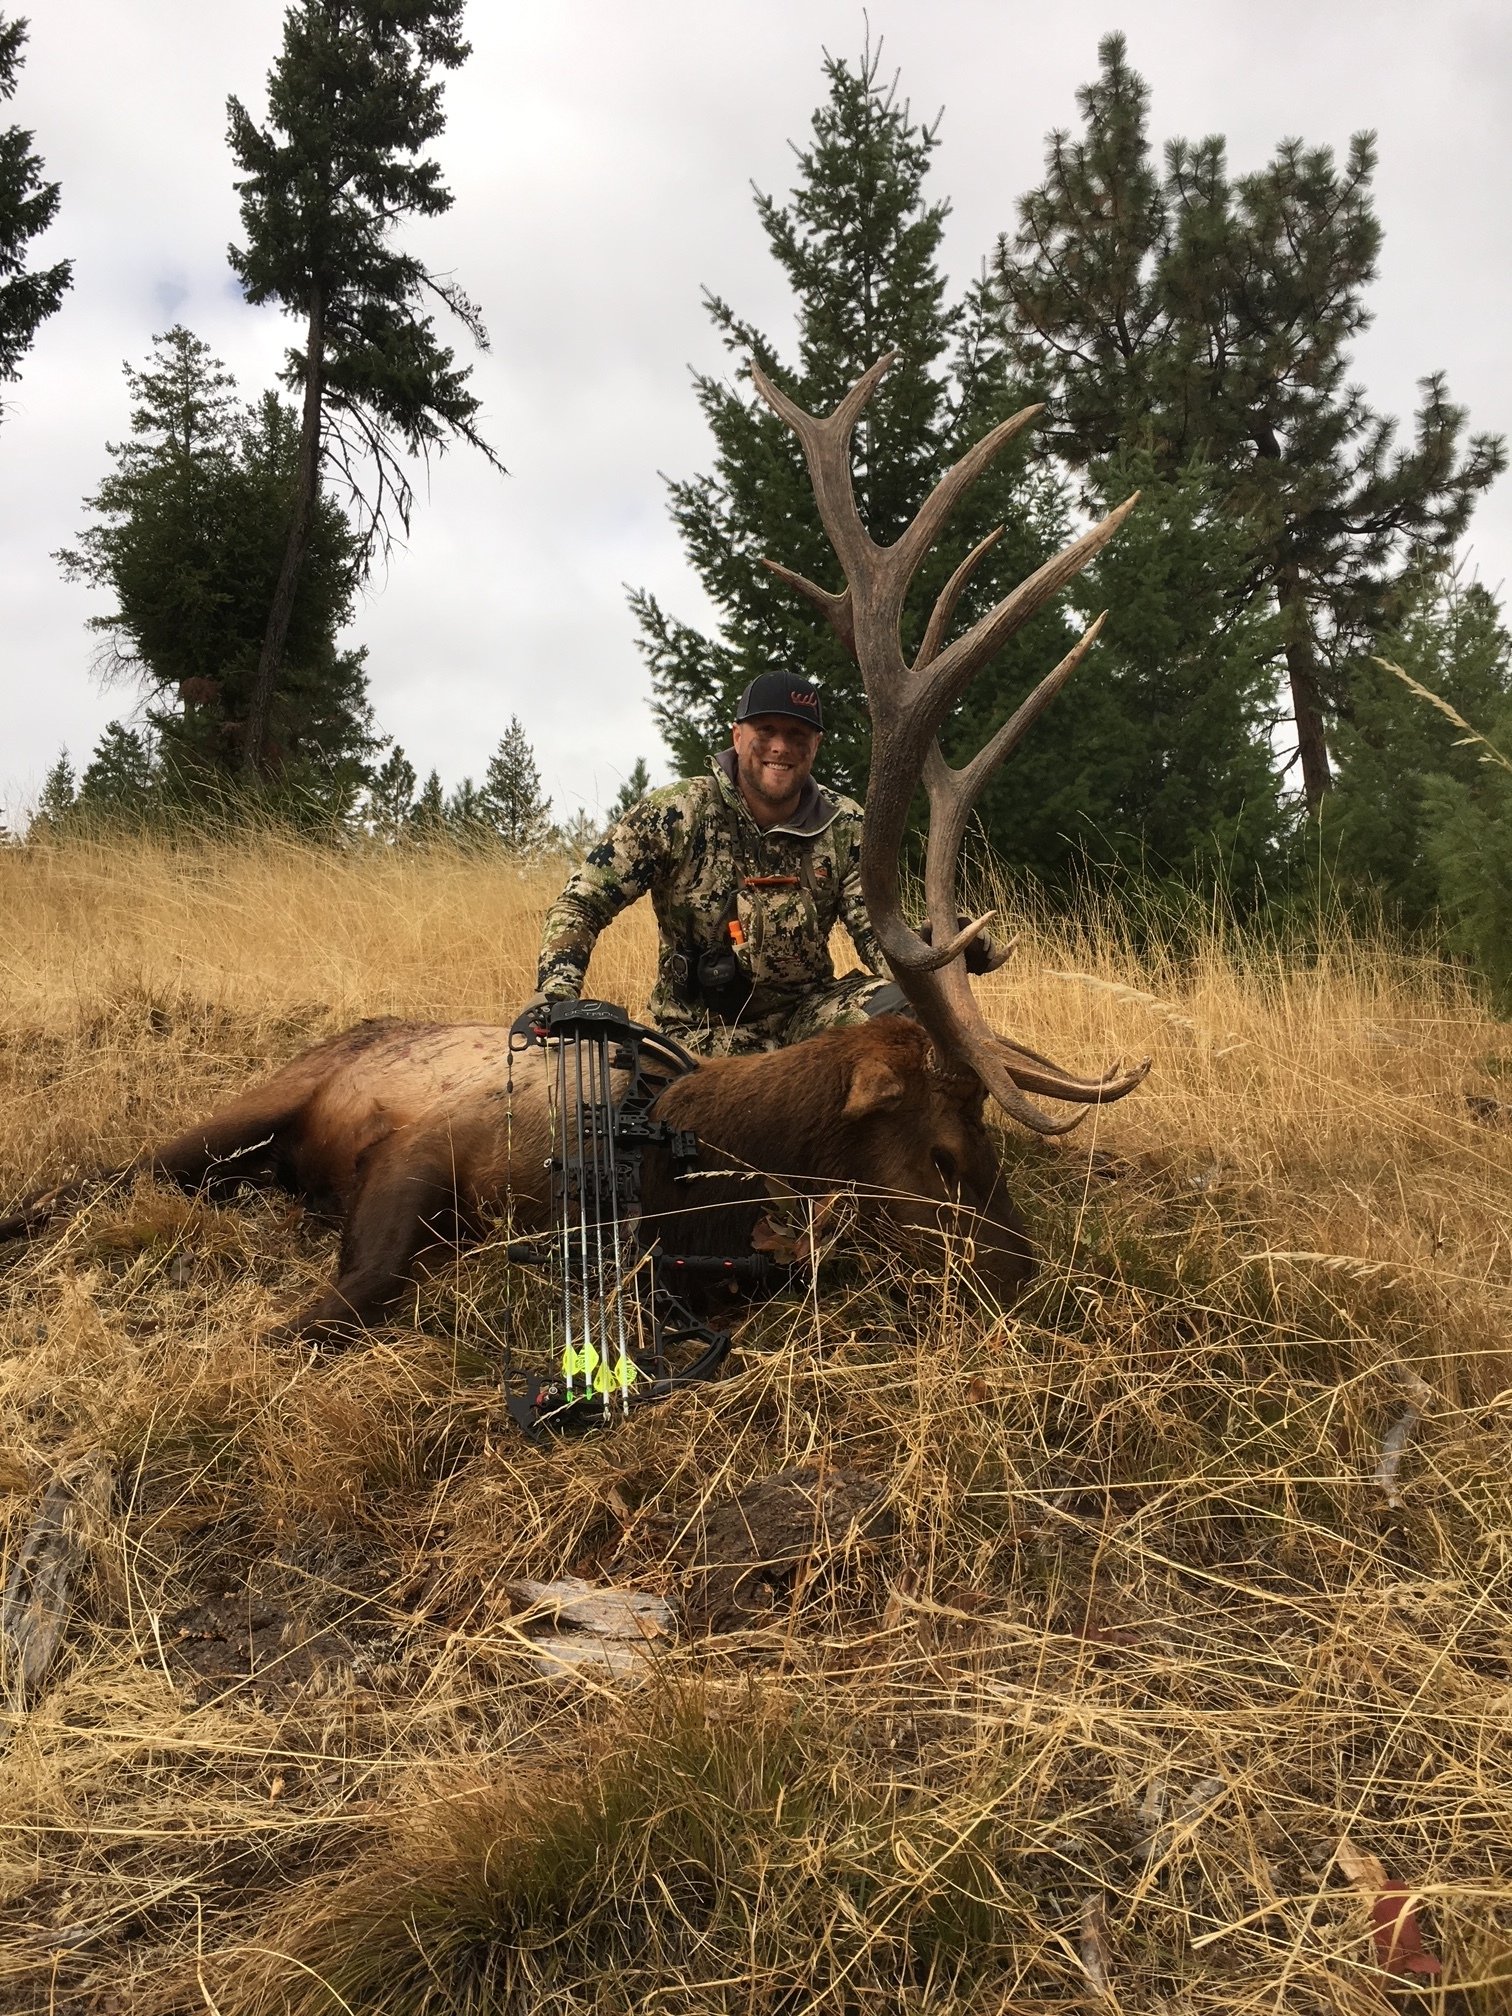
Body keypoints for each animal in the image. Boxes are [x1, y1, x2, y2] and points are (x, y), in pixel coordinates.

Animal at [1, 357, 1147, 1339]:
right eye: (947, 1155)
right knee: (114, 1173)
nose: (1029, 1284)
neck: (677, 1167)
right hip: (257, 1097)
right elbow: (347, 1297)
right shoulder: (420, 1147)